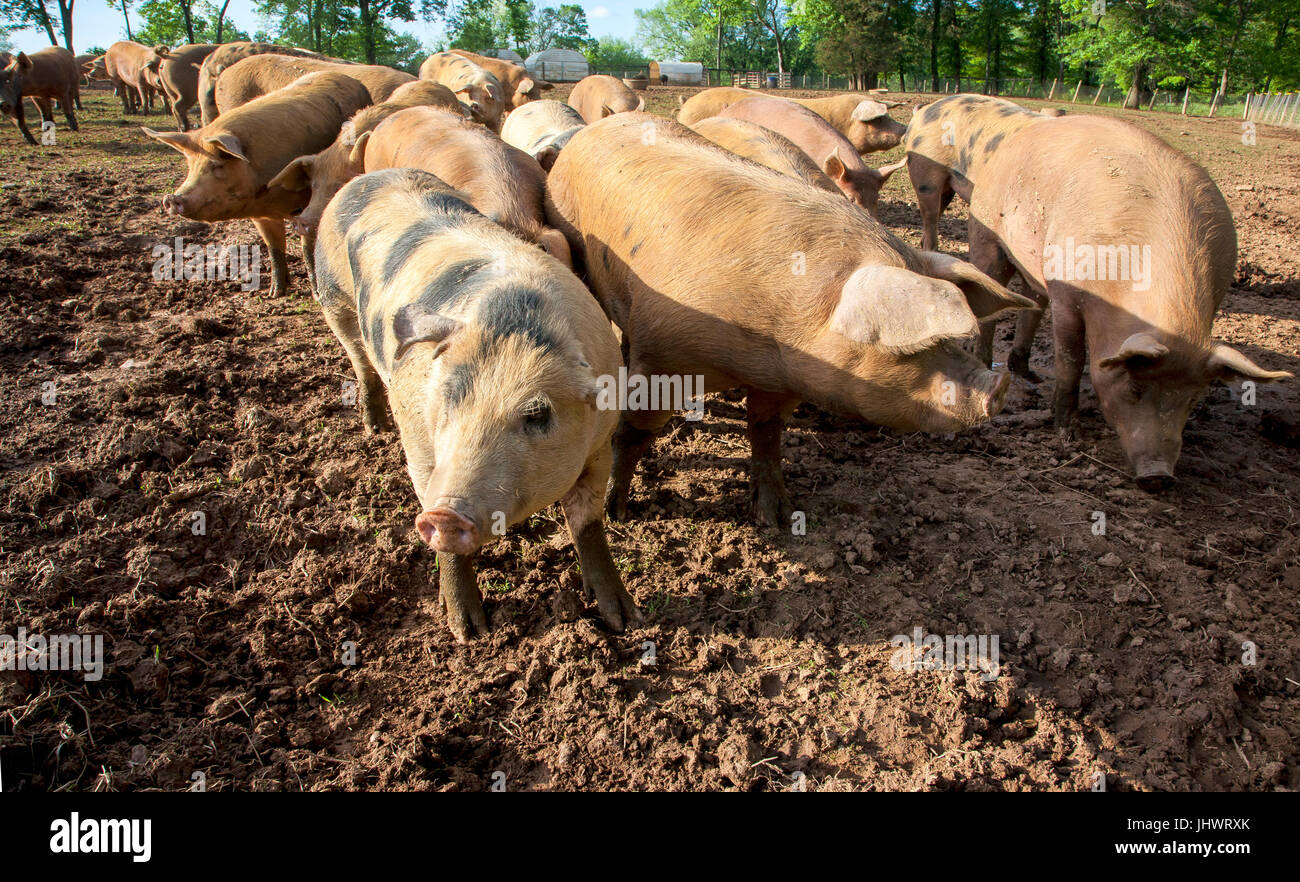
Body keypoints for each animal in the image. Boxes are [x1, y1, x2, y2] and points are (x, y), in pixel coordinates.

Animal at [145, 70, 373, 297]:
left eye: (217, 164)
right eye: (190, 165)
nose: (172, 198)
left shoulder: (305, 203)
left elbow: (308, 246)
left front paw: (316, 294)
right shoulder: (260, 215)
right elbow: (274, 247)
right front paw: (274, 293)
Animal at [313, 166, 638, 640]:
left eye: (537, 414)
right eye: (448, 397)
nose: (445, 514)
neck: (516, 323)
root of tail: (366, 178)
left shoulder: (598, 447)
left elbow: (588, 525)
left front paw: (624, 620)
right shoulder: (420, 443)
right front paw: (469, 633)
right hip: (332, 299)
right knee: (359, 359)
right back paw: (375, 427)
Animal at [967, 114, 1291, 490]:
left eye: (1193, 397)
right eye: (1135, 386)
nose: (1159, 475)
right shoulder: (1067, 294)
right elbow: (1071, 359)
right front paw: (1065, 431)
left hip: (1035, 264)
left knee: (1033, 303)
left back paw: (1026, 373)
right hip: (987, 232)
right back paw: (986, 364)